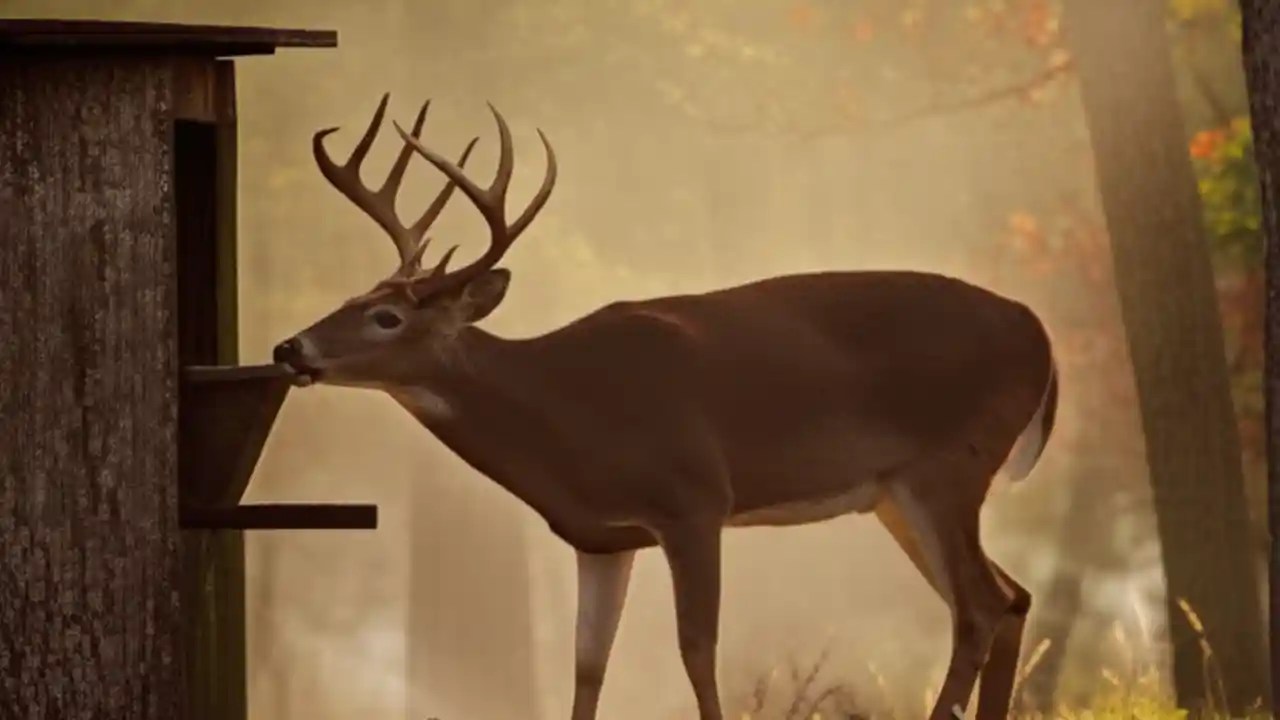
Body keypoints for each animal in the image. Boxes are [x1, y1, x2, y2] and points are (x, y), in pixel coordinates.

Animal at [272, 94, 1059, 720]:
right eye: (351, 298)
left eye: (387, 319)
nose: (289, 347)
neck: (562, 417)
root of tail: (1039, 332)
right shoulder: (599, 538)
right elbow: (587, 669)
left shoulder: (695, 499)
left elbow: (697, 652)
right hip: (895, 494)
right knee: (1010, 599)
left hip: (947, 467)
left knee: (979, 608)